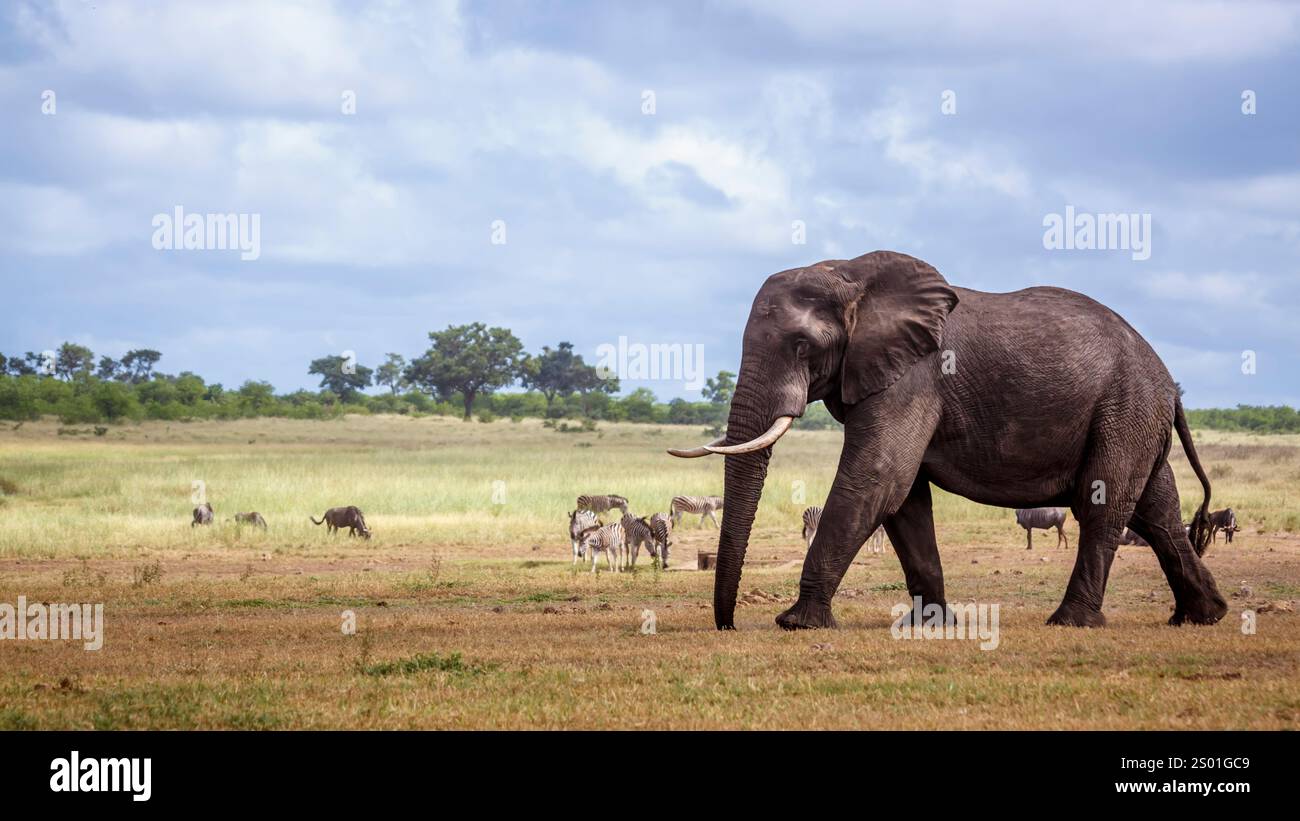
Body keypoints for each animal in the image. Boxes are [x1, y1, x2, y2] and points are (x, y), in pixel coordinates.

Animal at [669, 251, 1227, 631]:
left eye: (803, 346)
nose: (729, 625)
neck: (851, 274)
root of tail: (1168, 383)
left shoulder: (915, 375)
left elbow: (878, 477)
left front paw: (797, 623)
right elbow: (905, 499)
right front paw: (931, 625)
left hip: (1124, 408)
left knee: (1104, 503)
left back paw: (1070, 622)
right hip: (1135, 415)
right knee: (1157, 509)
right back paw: (1203, 617)